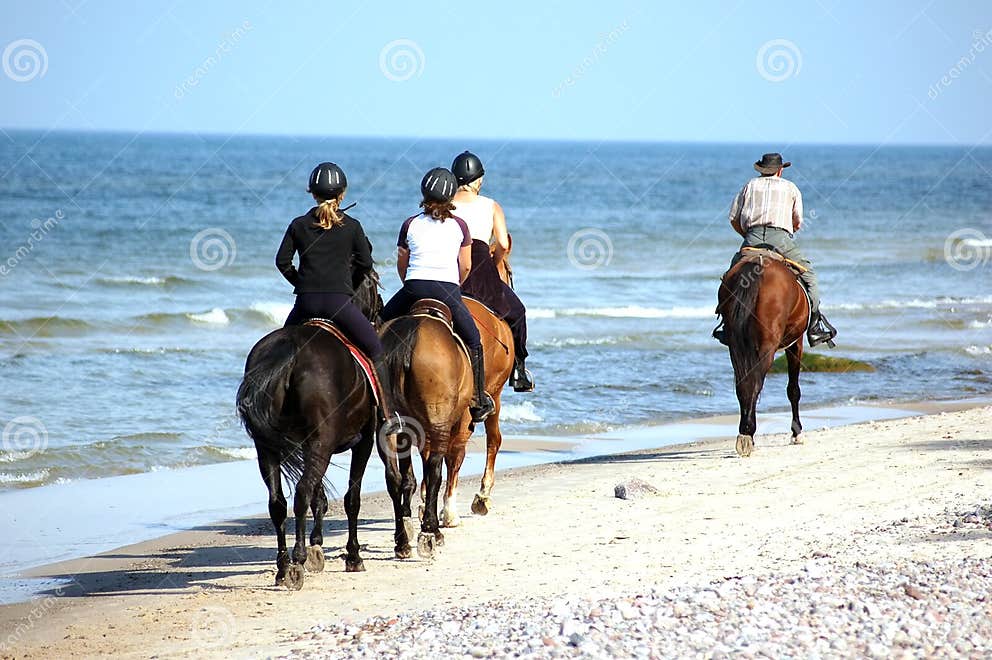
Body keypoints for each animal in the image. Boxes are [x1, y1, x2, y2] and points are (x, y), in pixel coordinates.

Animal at [236, 269, 411, 590]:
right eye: (374, 285)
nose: (380, 312)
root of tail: (289, 352)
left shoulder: (309, 445)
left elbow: (321, 496)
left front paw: (318, 546)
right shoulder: (364, 441)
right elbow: (354, 498)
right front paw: (355, 556)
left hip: (270, 448)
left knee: (278, 501)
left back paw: (284, 566)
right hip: (321, 443)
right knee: (302, 492)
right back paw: (298, 560)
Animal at [379, 303, 474, 559]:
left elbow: (407, 478)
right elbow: (437, 470)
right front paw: (432, 528)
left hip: (387, 425)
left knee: (393, 476)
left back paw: (402, 541)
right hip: (438, 423)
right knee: (435, 471)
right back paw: (430, 534)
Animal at [716, 254, 810, 458]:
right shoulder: (796, 343)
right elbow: (793, 390)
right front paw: (797, 433)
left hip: (735, 347)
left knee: (743, 385)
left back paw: (745, 433)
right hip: (767, 346)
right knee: (756, 383)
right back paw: (748, 433)